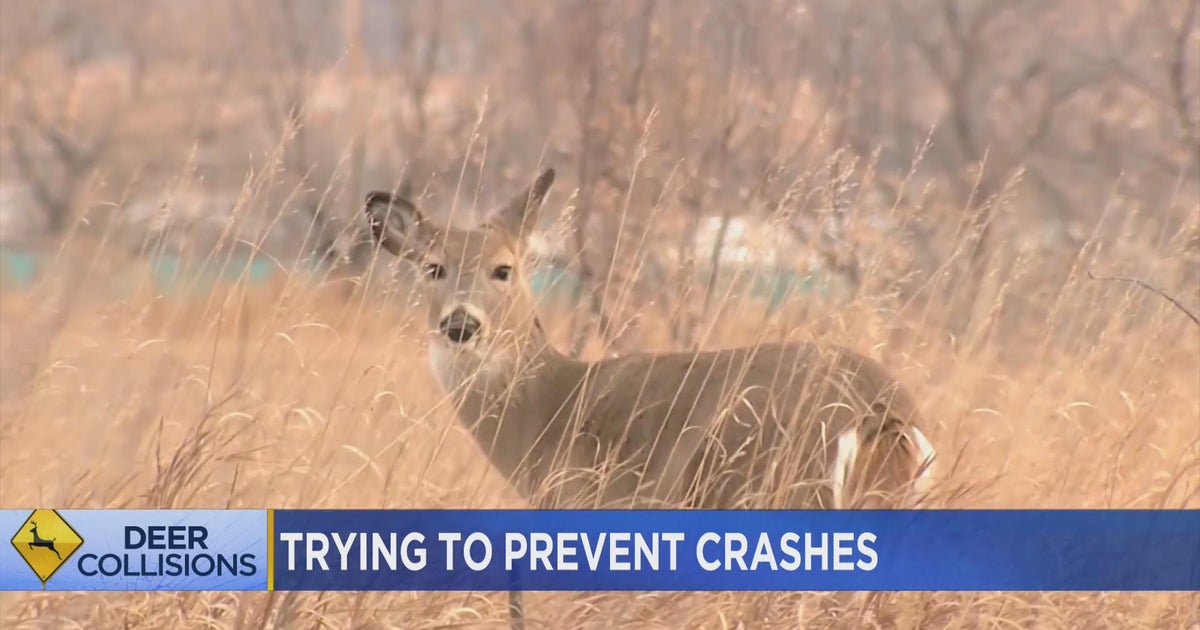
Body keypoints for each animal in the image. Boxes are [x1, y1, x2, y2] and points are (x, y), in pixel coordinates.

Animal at [363, 167, 937, 629]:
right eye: (433, 267)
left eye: (503, 269)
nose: (461, 324)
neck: (549, 413)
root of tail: (879, 410)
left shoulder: (592, 527)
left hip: (783, 503)